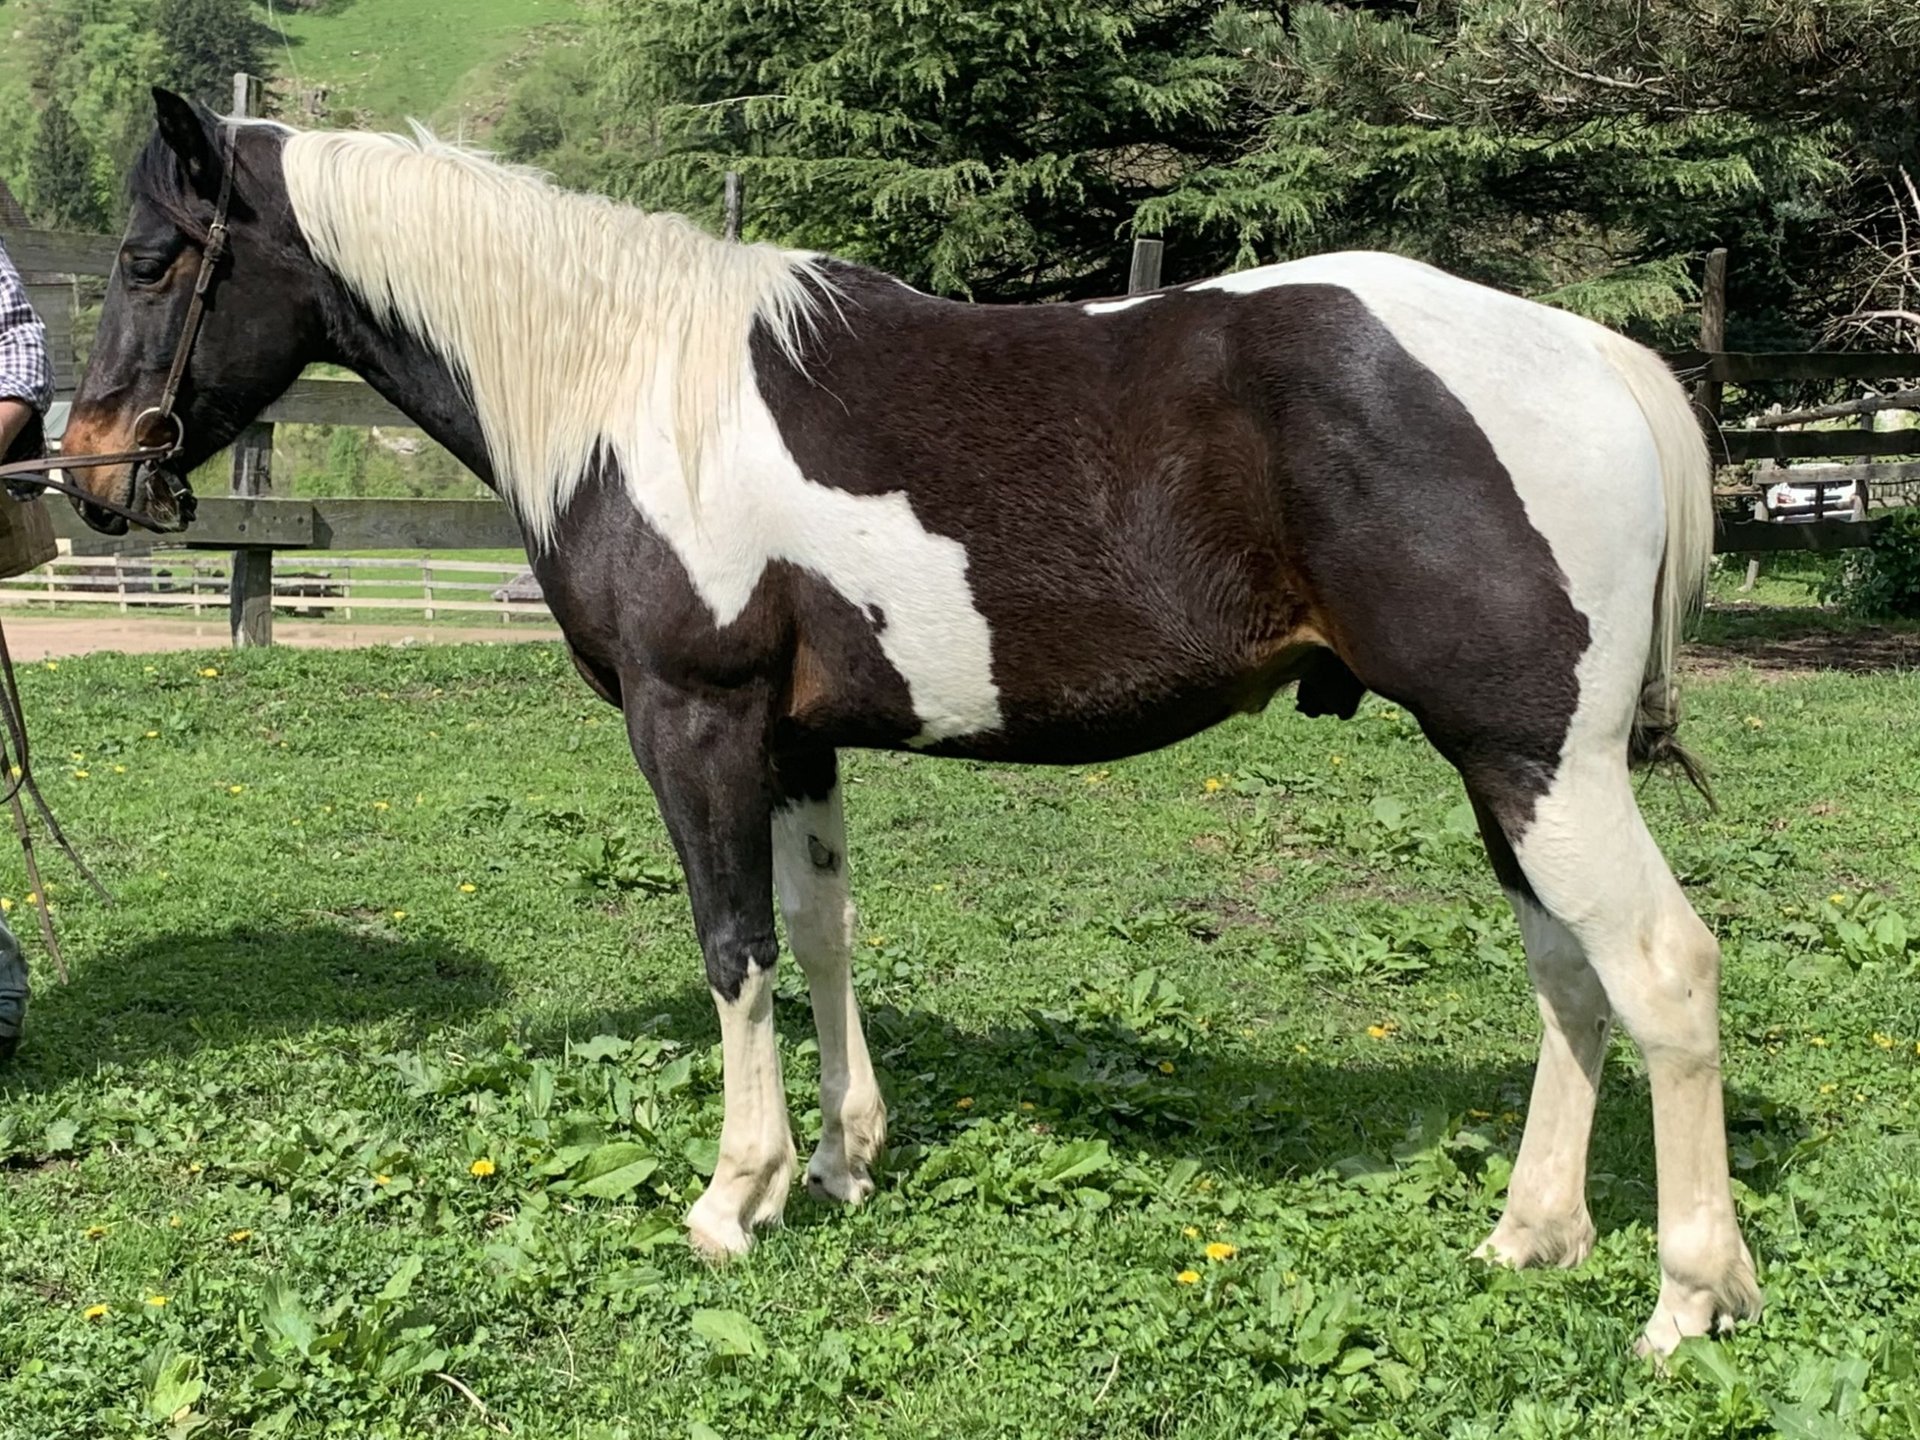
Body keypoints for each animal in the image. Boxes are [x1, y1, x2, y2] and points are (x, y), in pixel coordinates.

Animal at [55, 89, 1759, 1354]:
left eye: (146, 260)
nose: (87, 470)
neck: (633, 388)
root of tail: (1589, 355)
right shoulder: (796, 740)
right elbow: (820, 936)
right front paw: (840, 1163)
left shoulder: (695, 722)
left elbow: (733, 948)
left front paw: (731, 1200)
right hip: (1506, 765)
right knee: (1569, 978)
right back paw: (1532, 1235)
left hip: (1538, 759)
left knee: (1662, 971)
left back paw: (1688, 1297)